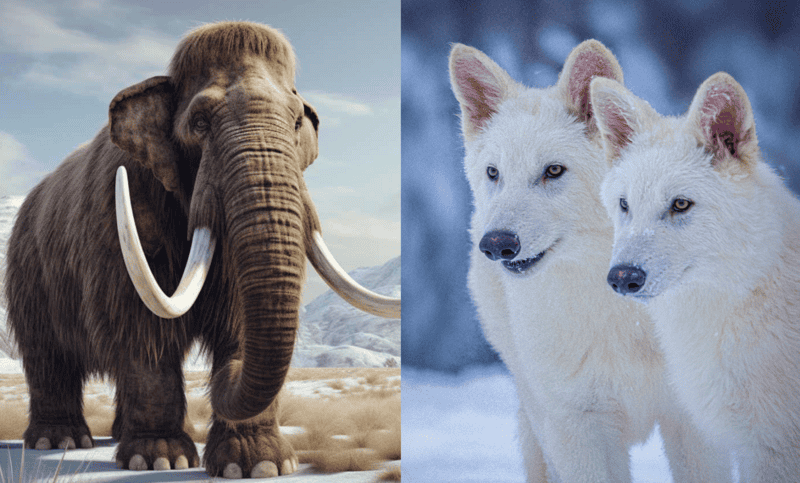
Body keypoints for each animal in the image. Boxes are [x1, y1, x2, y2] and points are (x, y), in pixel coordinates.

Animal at [449, 40, 729, 482]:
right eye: (494, 173)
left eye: (553, 170)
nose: (496, 244)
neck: (621, 316)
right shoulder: (577, 429)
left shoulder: (692, 422)